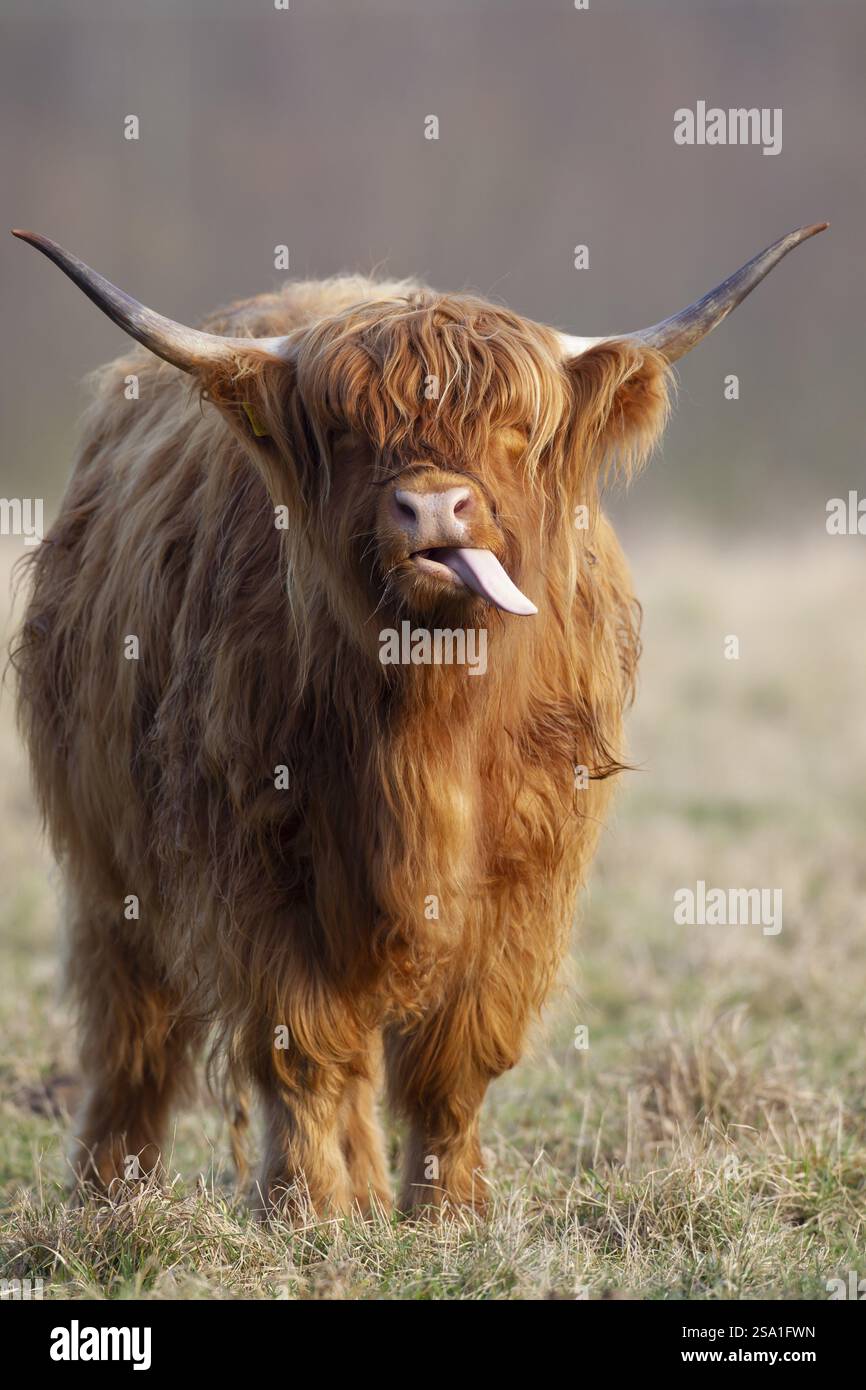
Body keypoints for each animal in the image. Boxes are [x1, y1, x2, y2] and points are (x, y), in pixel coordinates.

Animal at [11, 222, 826, 1215]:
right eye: (348, 431)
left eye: (514, 429)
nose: (434, 505)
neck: (428, 728)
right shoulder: (260, 858)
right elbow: (302, 1046)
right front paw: (309, 1210)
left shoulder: (527, 872)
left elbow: (456, 1057)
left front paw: (449, 1212)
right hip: (107, 860)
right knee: (132, 1032)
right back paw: (110, 1190)